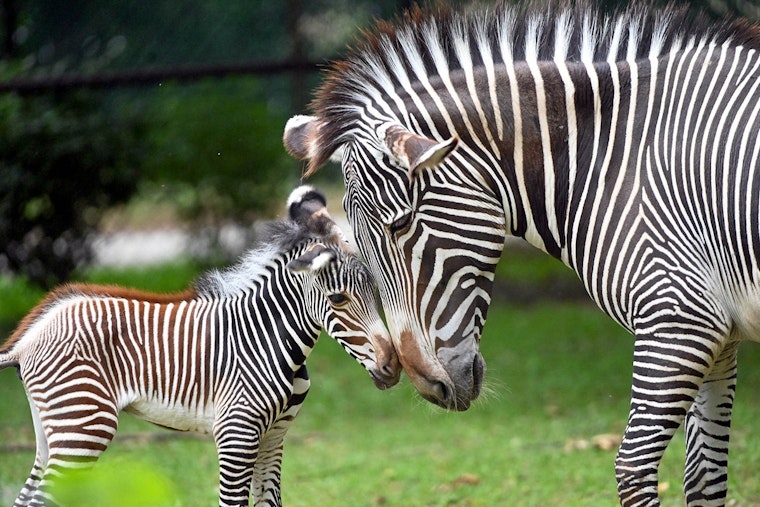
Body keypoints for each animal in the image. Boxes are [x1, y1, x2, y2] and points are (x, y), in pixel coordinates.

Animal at [0, 185, 400, 507]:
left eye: (374, 290)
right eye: (338, 299)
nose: (392, 367)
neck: (268, 339)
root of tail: (28, 338)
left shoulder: (274, 439)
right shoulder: (237, 435)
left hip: (55, 429)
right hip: (84, 424)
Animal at [283, 2, 760, 505]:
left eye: (401, 224)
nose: (429, 388)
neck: (607, 159)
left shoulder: (679, 322)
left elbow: (632, 467)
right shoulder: (719, 338)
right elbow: (705, 479)